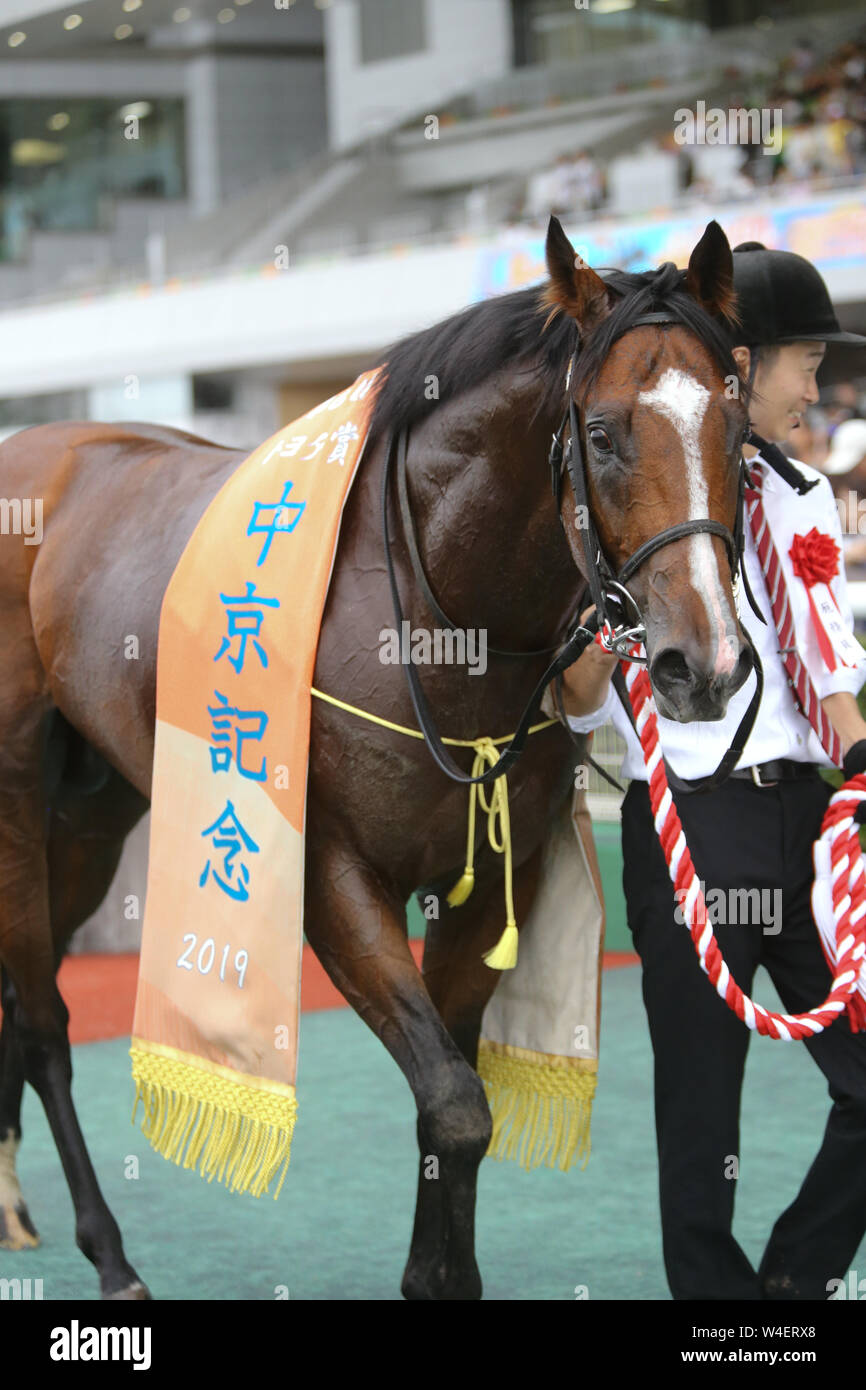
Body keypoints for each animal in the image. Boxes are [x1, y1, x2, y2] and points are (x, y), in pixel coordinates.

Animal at [0, 215, 751, 1300]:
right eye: (604, 434)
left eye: (734, 431)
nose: (708, 662)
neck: (439, 624)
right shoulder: (332, 872)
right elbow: (455, 1101)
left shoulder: (495, 879)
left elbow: (459, 1098)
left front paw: (440, 1272)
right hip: (16, 793)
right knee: (44, 1022)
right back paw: (109, 1251)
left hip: (92, 814)